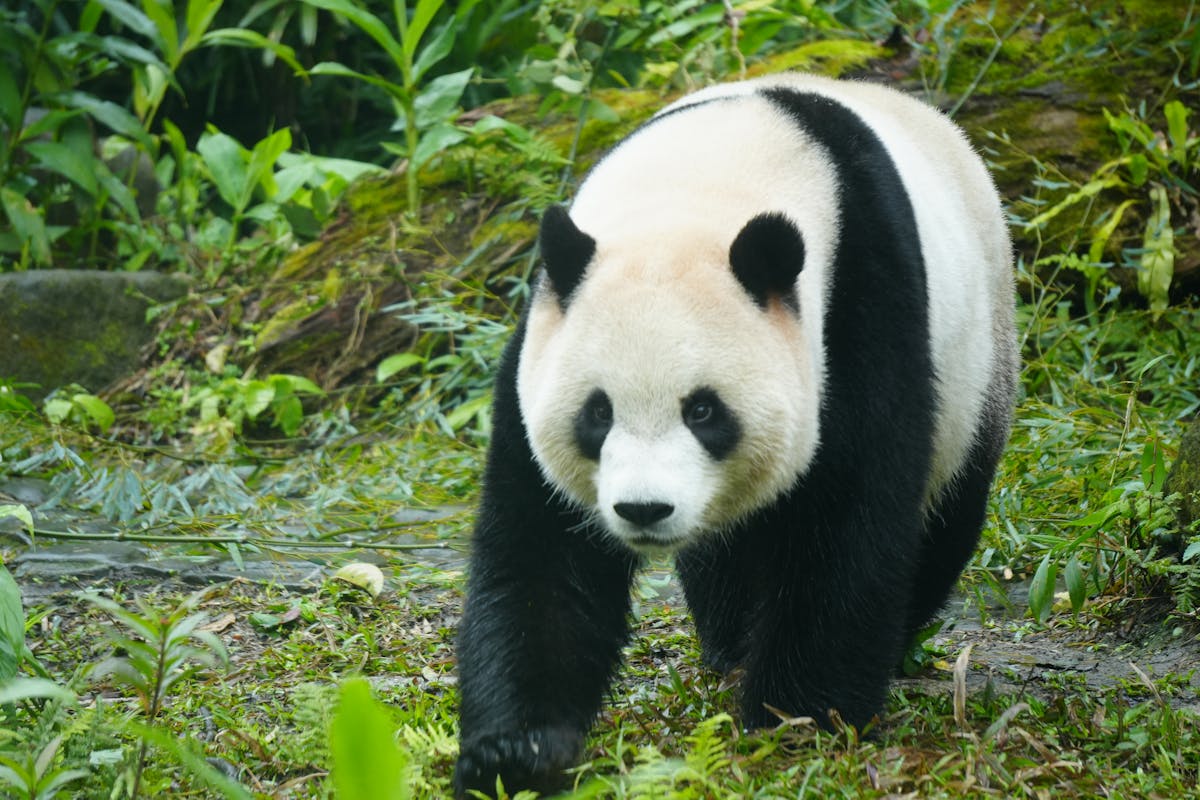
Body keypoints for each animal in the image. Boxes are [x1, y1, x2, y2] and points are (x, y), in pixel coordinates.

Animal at [454, 73, 1018, 797]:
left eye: (703, 411)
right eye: (597, 413)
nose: (643, 509)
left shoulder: (861, 300)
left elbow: (848, 521)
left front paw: (796, 719)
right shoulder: (539, 341)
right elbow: (541, 552)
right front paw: (516, 754)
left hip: (979, 361)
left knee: (946, 513)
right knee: (720, 553)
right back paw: (728, 642)